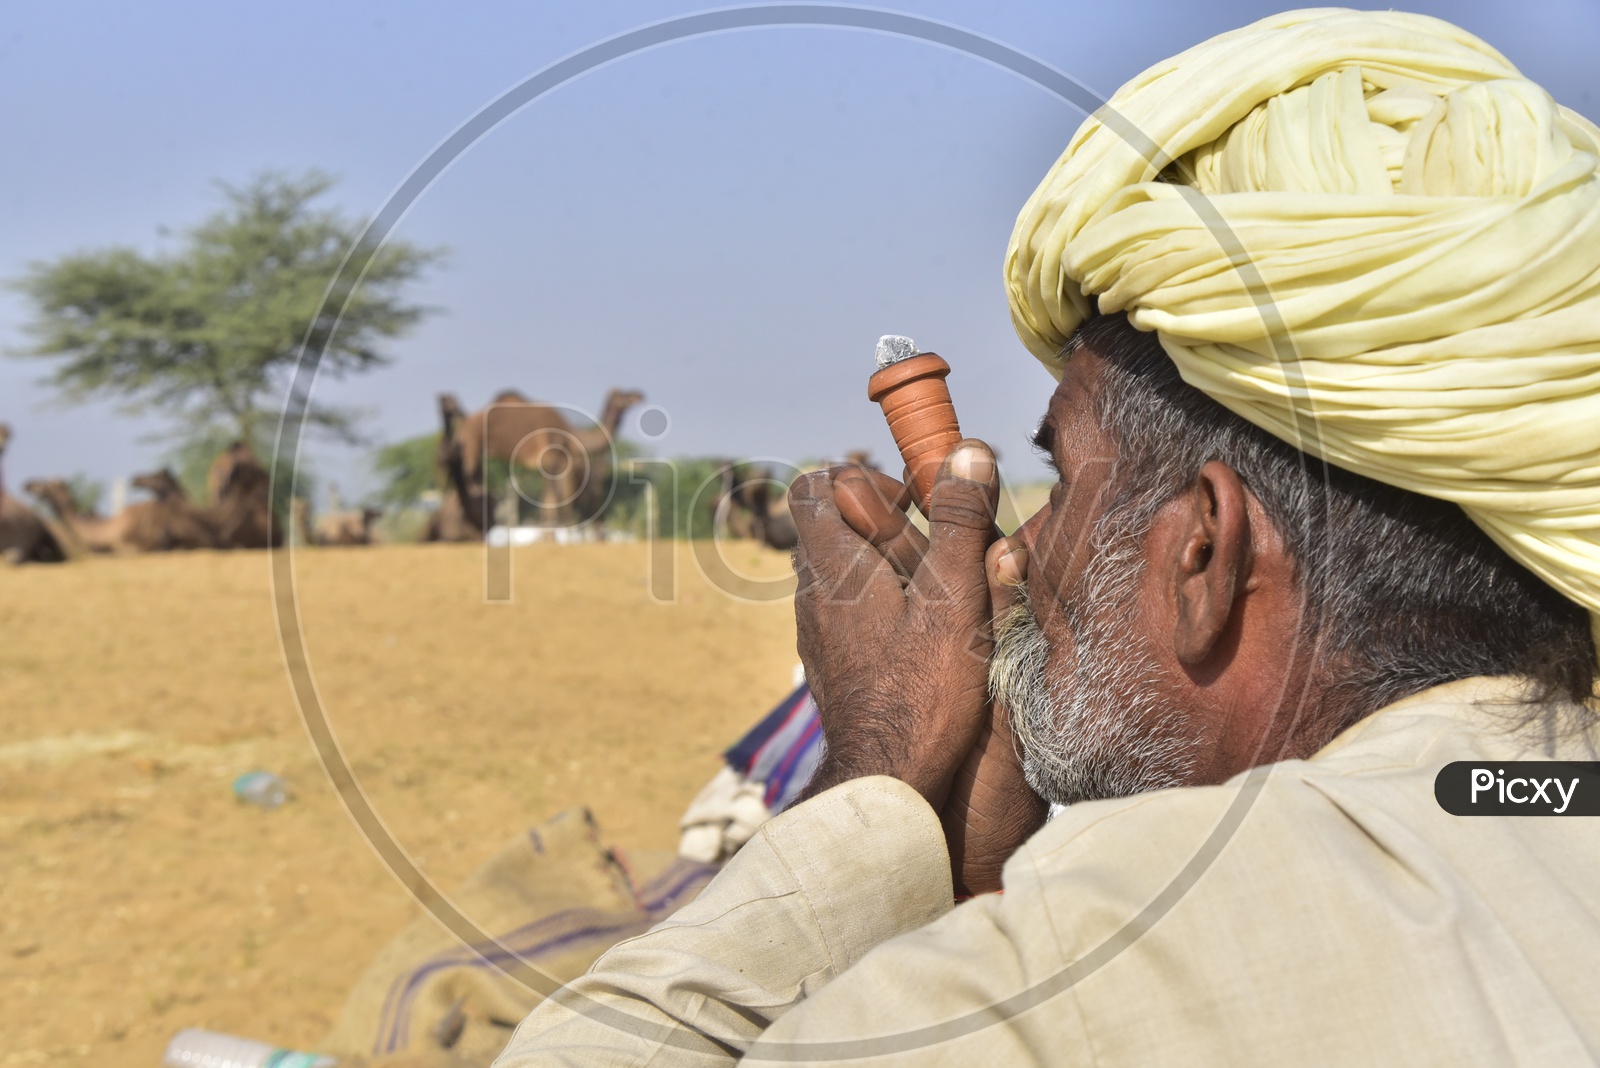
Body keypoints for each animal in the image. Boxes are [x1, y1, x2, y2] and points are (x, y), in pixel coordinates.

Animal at [453, 388, 643, 527]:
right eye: (618, 396)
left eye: (627, 395)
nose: (638, 396)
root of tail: (465, 422)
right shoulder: (550, 459)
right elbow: (551, 508)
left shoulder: (559, 463)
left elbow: (554, 505)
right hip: (471, 444)